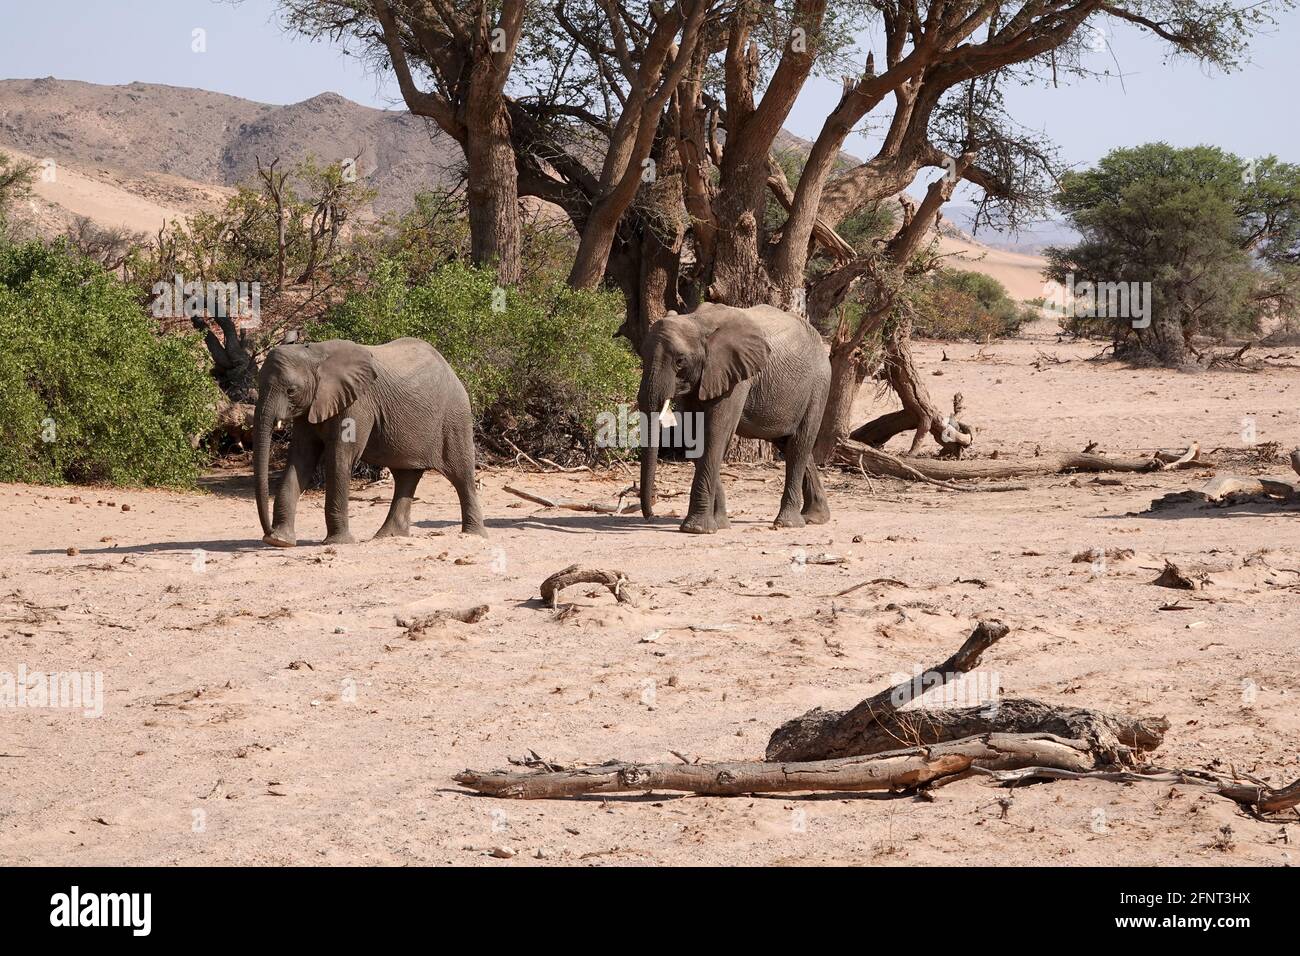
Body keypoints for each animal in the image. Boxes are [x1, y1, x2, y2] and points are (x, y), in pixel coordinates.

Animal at [253, 337, 485, 546]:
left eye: (291, 390)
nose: (267, 532)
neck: (314, 353)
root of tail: (450, 368)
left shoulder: (357, 403)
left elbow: (340, 457)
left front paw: (338, 543)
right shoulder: (311, 406)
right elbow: (300, 459)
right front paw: (280, 541)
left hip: (454, 417)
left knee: (461, 475)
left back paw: (474, 535)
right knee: (406, 476)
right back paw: (389, 536)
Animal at [638, 302, 831, 533]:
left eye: (680, 361)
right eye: (641, 356)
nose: (651, 516)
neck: (696, 321)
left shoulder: (736, 377)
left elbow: (715, 435)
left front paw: (696, 529)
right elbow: (695, 439)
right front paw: (719, 524)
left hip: (818, 385)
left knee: (800, 444)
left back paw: (787, 523)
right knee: (790, 444)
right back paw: (816, 518)